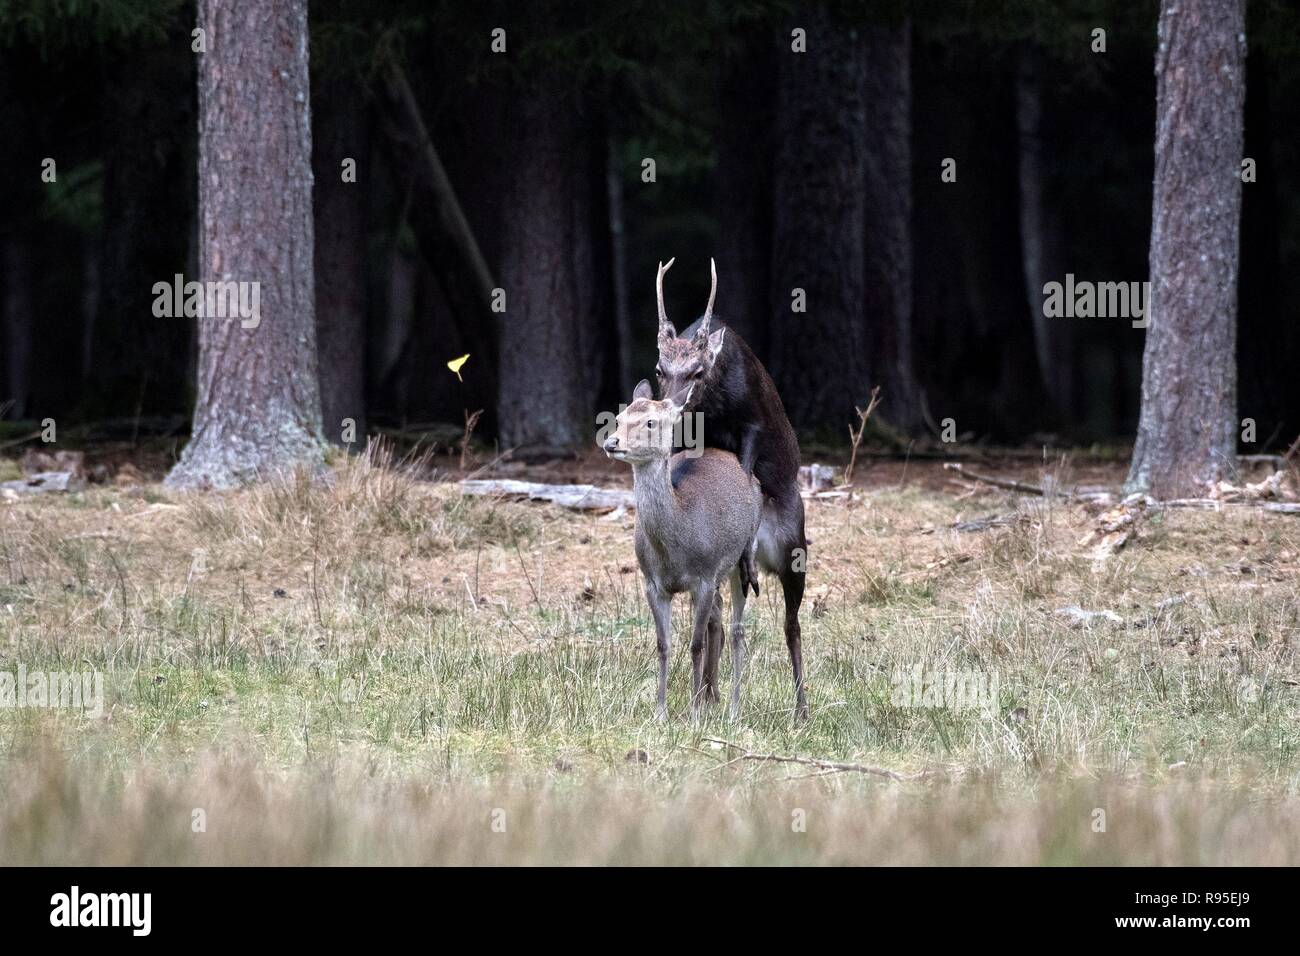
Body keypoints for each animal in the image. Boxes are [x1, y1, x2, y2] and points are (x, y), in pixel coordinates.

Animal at [602, 379, 762, 719]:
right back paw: (711, 693)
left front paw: (693, 713)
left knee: (737, 629)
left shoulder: (703, 577)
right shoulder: (653, 584)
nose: (611, 442)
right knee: (718, 618)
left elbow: (695, 644)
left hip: (741, 558)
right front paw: (661, 711)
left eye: (651, 422)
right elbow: (663, 644)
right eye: (619, 418)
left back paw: (732, 707)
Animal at [653, 258, 809, 718]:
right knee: (720, 617)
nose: (672, 408)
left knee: (792, 623)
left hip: (795, 548)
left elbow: (744, 468)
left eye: (698, 371)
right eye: (660, 370)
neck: (714, 406)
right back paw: (710, 694)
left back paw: (802, 709)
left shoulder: (753, 421)